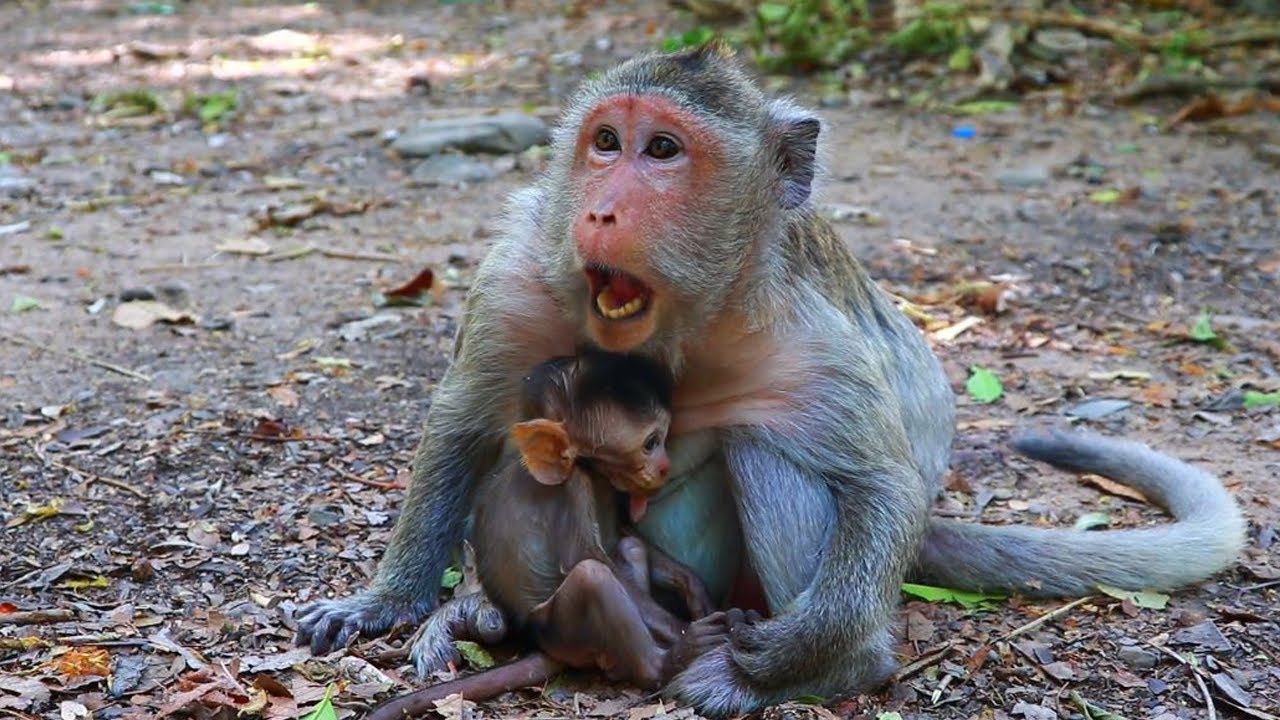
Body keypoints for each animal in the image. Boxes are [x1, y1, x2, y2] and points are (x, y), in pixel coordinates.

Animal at [364, 350, 734, 720]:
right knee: (592, 578)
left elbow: (621, 538)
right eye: (650, 443)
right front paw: (682, 628)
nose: (664, 466)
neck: (583, 468)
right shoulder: (573, 490)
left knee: (629, 549)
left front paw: (693, 588)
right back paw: (665, 661)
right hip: (564, 632)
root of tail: (542, 645)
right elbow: (585, 558)